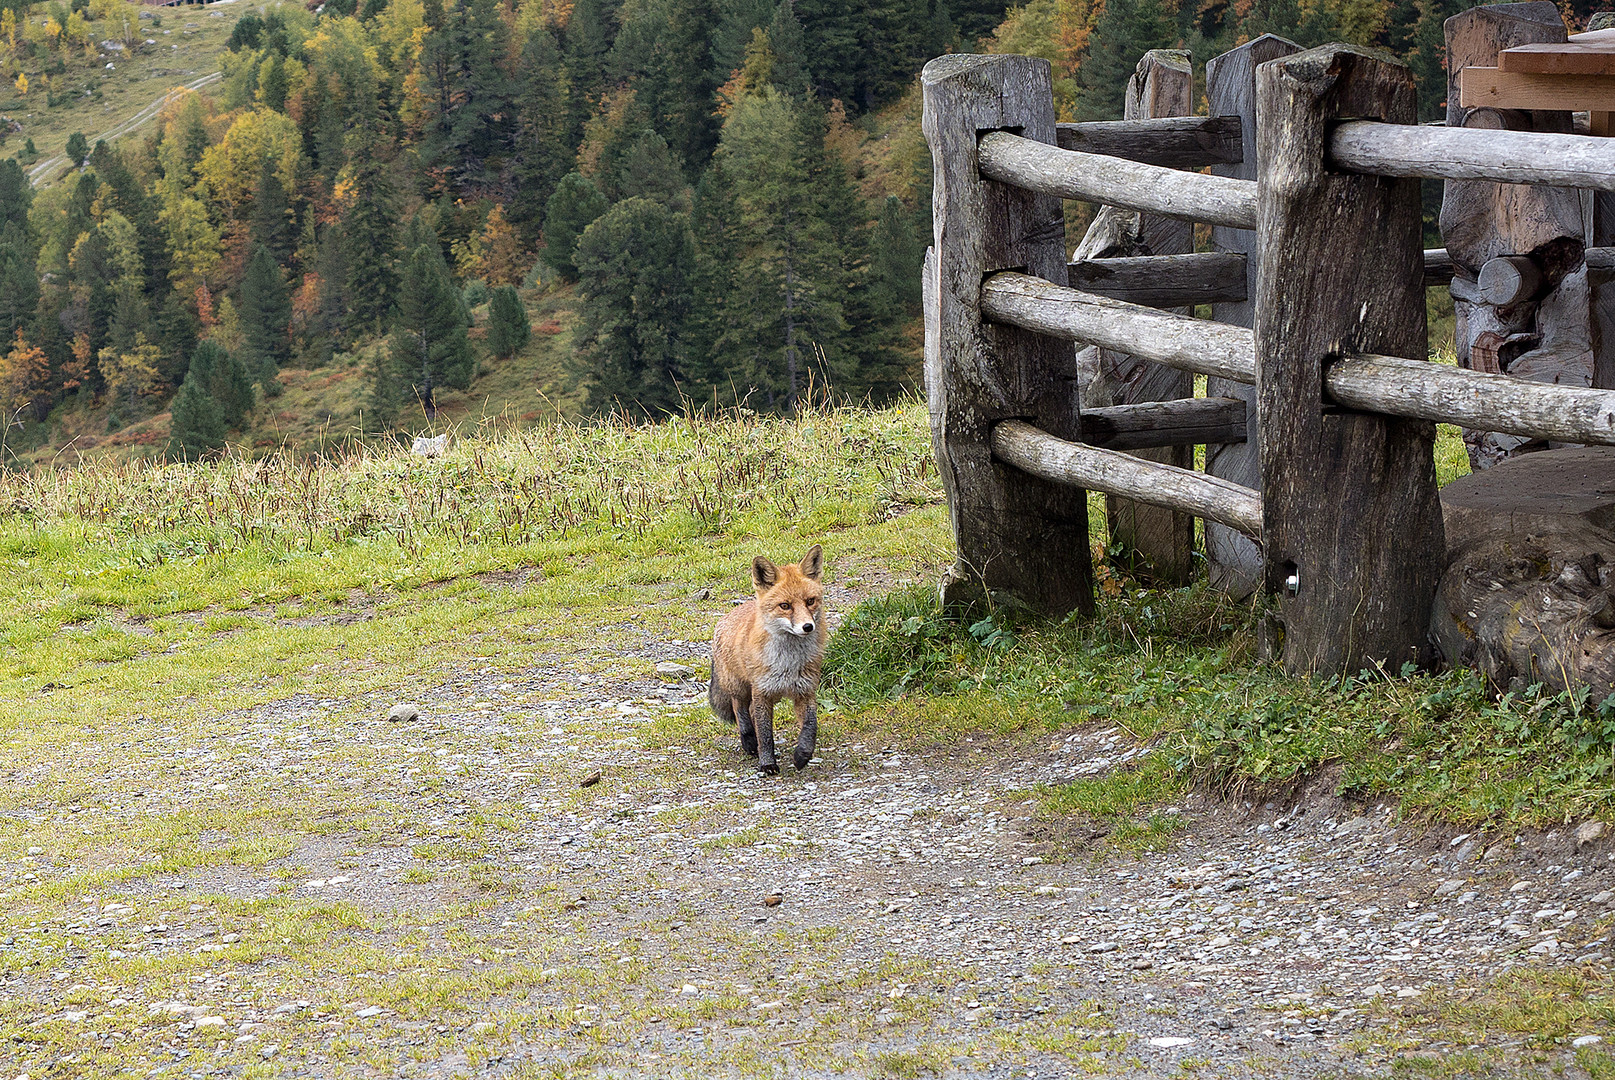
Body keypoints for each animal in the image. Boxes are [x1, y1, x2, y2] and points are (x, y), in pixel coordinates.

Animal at [710, 542, 826, 771]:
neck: (789, 663)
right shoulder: (762, 692)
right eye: (785, 606)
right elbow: (765, 734)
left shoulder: (806, 690)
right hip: (740, 687)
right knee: (741, 711)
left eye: (810, 601)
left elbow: (811, 728)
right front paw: (767, 763)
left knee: (750, 712)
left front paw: (802, 756)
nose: (808, 626)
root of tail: (726, 617)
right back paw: (749, 742)